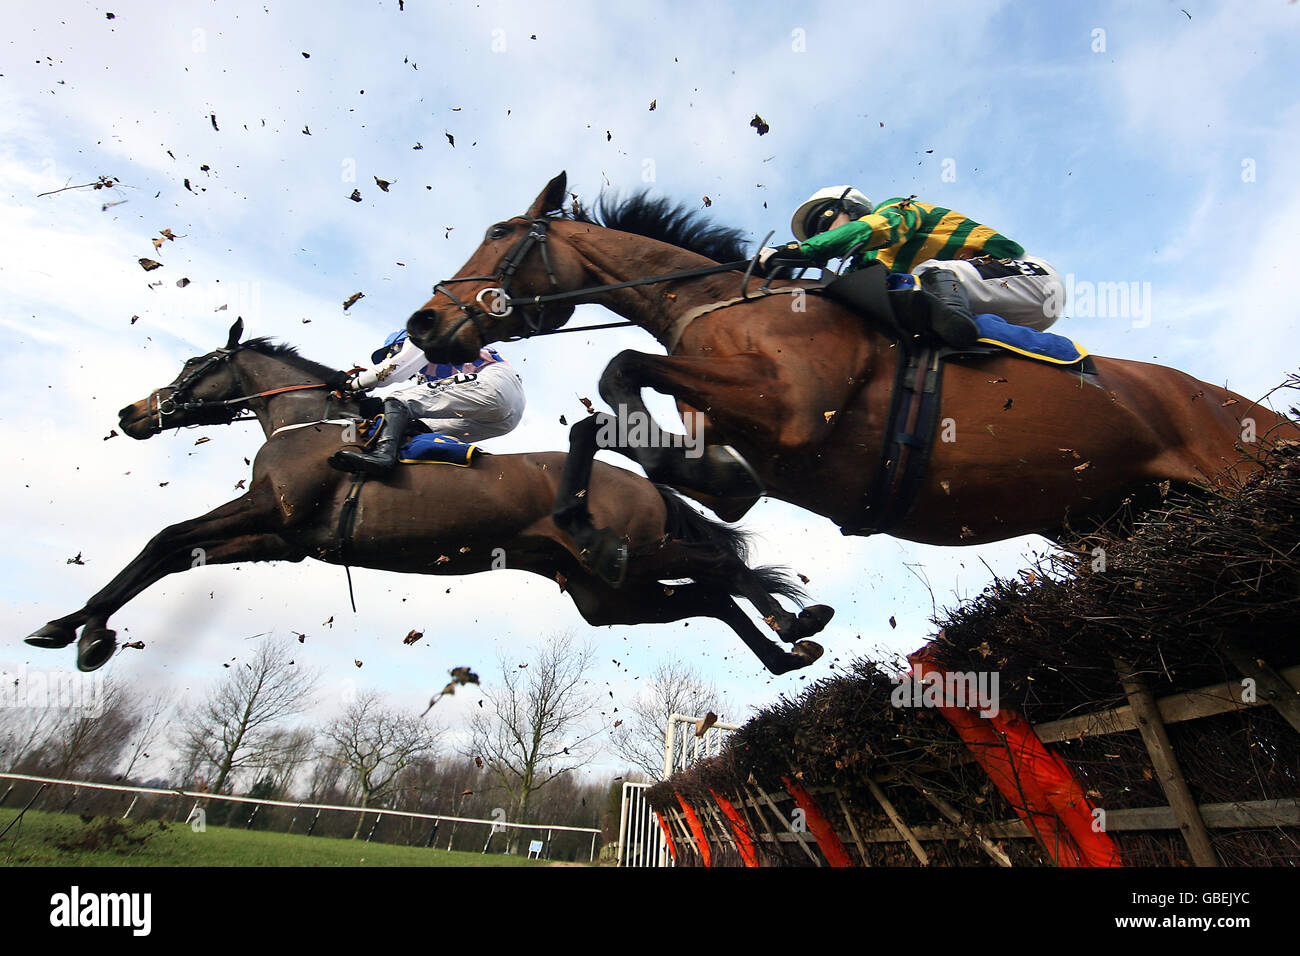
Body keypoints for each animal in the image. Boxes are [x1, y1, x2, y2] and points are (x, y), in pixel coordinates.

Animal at [23, 319, 832, 675]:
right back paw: (787, 649)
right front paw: (81, 628)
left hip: (638, 551)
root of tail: (640, 482)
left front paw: (75, 629)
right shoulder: (283, 538)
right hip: (610, 594)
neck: (306, 419)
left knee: (722, 570)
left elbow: (162, 539)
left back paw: (798, 623)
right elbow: (171, 553)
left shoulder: (273, 512)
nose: (132, 412)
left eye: (195, 365)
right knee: (713, 593)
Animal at [403, 171, 1297, 580]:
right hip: (1117, 524)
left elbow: (621, 365)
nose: (424, 323)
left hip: (1235, 476)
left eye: (500, 232)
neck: (724, 301)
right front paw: (602, 527)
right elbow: (611, 427)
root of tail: (1250, 410)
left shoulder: (793, 410)